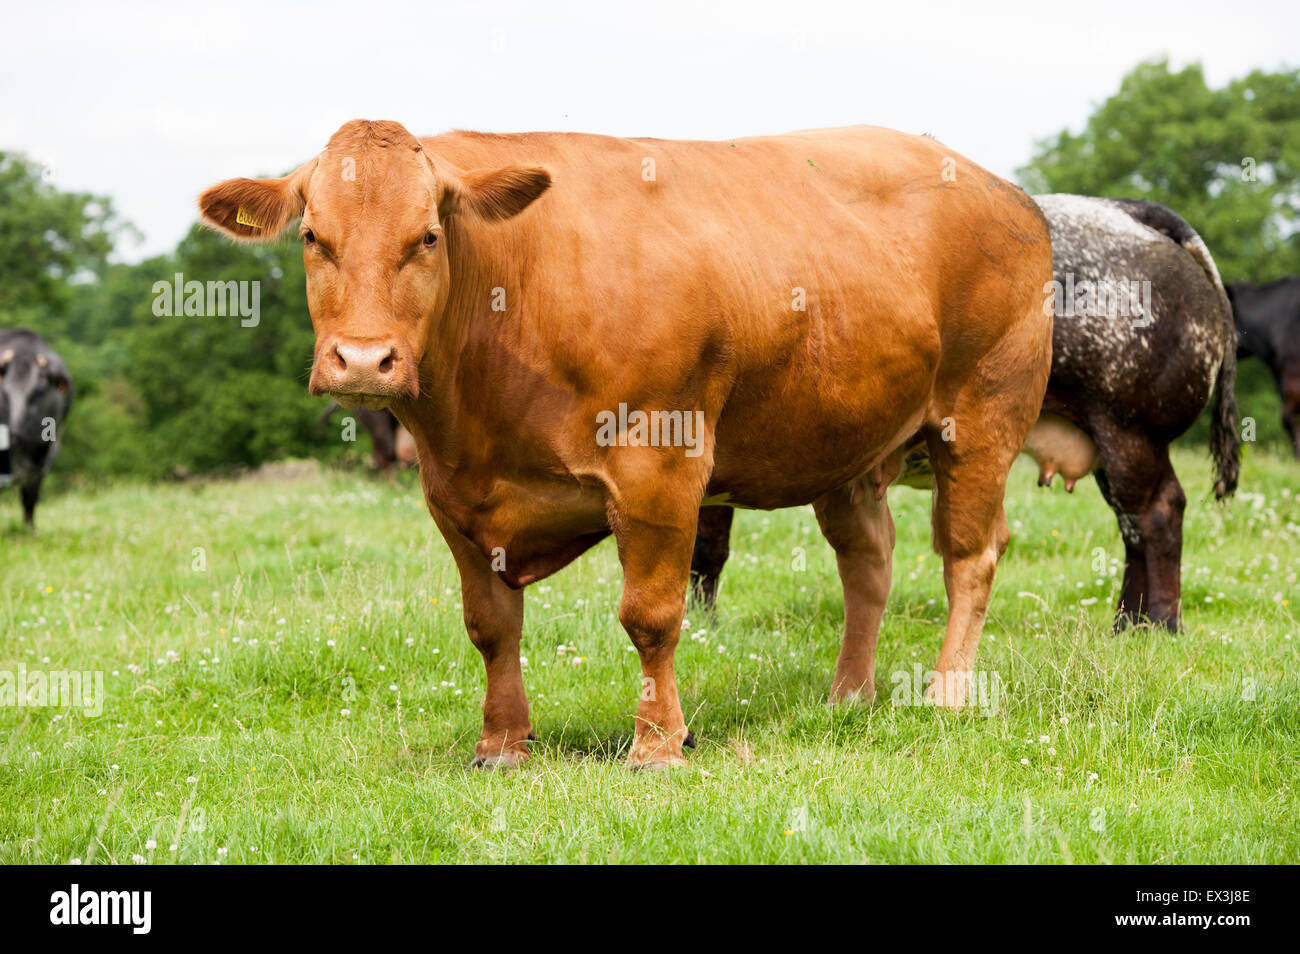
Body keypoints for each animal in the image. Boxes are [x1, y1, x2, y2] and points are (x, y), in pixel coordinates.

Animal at [0, 328, 73, 530]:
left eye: (38, 391)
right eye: (5, 392)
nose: (15, 437)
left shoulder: (46, 453)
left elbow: (30, 496)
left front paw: (29, 530)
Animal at [199, 120, 1053, 768]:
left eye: (429, 236)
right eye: (314, 237)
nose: (363, 360)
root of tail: (1005, 191)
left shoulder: (661, 467)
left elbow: (651, 615)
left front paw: (659, 744)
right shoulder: (452, 496)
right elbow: (490, 625)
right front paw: (502, 744)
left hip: (982, 416)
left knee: (970, 556)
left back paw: (946, 694)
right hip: (846, 445)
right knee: (868, 563)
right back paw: (850, 694)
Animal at [692, 195, 1239, 632]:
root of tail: (1128, 209)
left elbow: (705, 546)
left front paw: (702, 625)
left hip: (1128, 429)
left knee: (1157, 513)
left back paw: (1159, 622)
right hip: (1110, 442)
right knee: (1135, 529)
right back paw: (1128, 621)